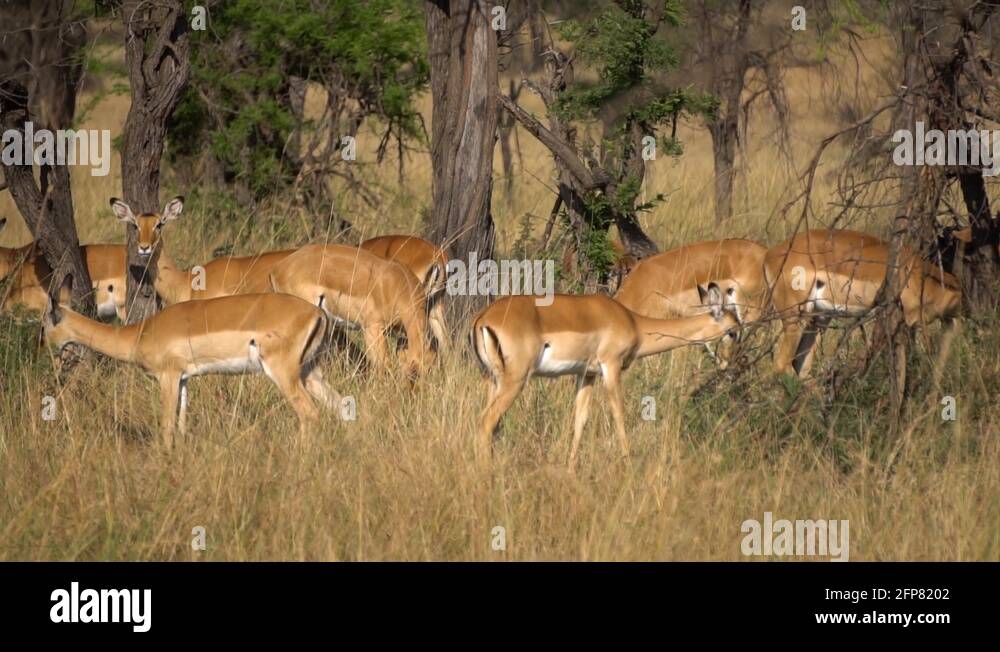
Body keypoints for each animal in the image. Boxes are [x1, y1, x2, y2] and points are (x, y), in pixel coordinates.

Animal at [41, 276, 337, 447]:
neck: (139, 334)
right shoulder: (184, 380)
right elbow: (182, 425)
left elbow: (167, 427)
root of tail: (317, 313)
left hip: (283, 373)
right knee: (339, 405)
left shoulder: (168, 377)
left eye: (44, 323)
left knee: (309, 414)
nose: (48, 354)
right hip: (310, 372)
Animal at [269, 243, 435, 377]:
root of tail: (278, 268)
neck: (399, 285)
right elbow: (383, 365)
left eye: (429, 371)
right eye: (414, 372)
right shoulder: (372, 328)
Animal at [470, 284, 741, 468]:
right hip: (515, 379)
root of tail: (484, 318)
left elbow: (580, 420)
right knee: (486, 422)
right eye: (733, 332)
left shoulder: (586, 375)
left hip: (492, 379)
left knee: (491, 424)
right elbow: (619, 414)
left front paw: (571, 469)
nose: (729, 365)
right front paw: (628, 464)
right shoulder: (611, 366)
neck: (634, 323)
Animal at [764, 229, 962, 379]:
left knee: (801, 367)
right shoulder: (906, 321)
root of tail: (770, 254)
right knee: (782, 365)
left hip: (818, 318)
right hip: (796, 317)